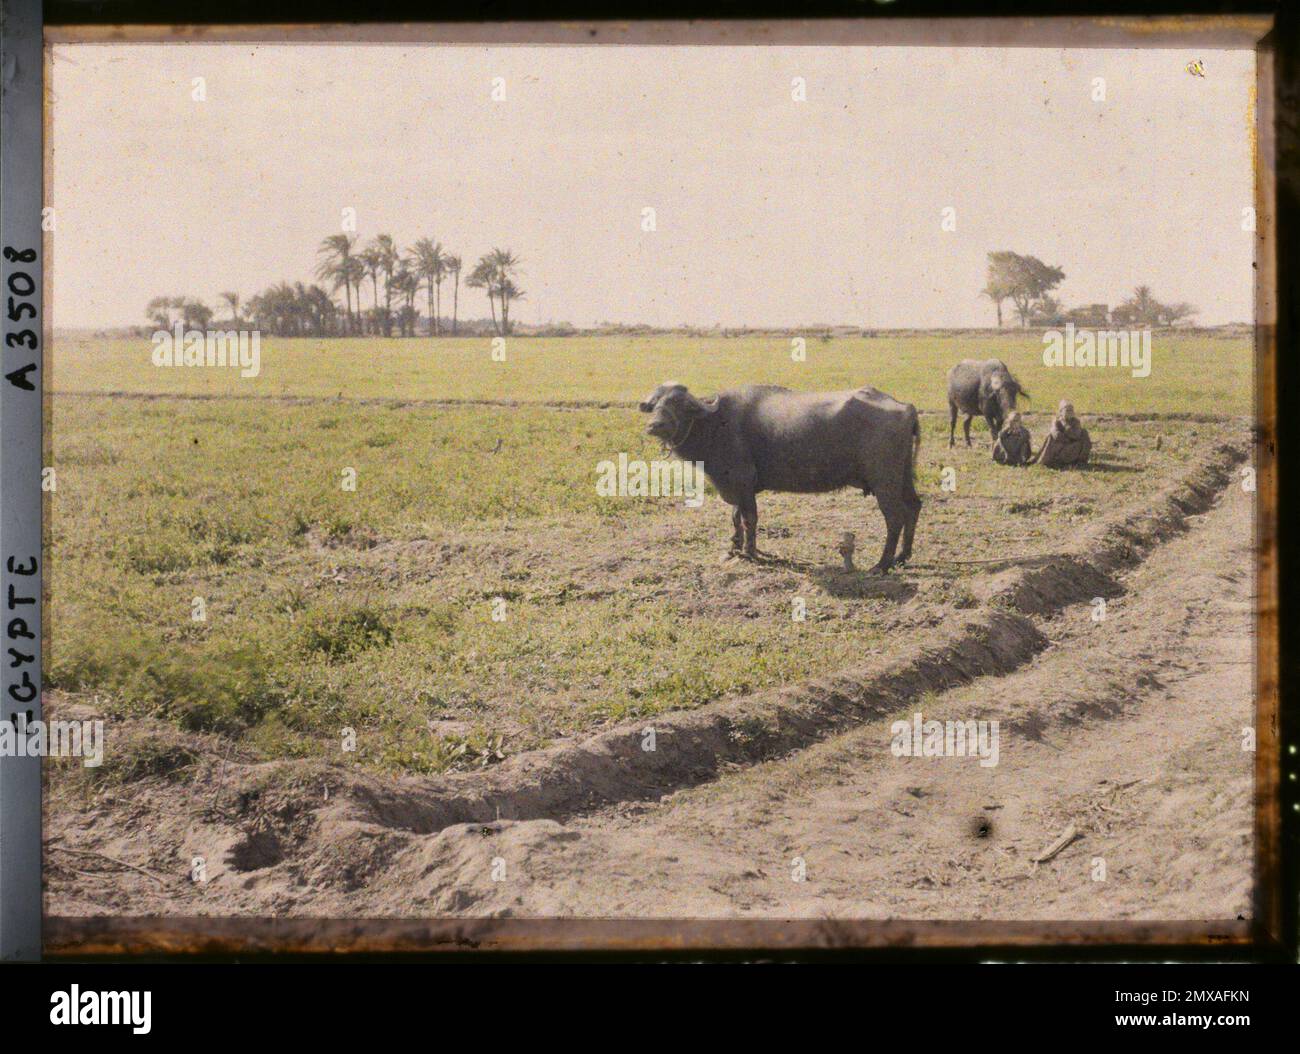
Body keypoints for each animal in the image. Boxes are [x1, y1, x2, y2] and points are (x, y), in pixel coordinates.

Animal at [639, 382, 922, 573]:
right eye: (654, 404)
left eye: (680, 404)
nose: (655, 426)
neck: (716, 423)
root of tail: (906, 408)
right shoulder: (736, 487)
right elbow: (735, 517)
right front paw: (734, 546)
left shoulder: (743, 482)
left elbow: (749, 519)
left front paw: (750, 552)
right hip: (903, 476)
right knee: (914, 506)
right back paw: (903, 557)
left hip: (885, 481)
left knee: (895, 517)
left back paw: (882, 564)